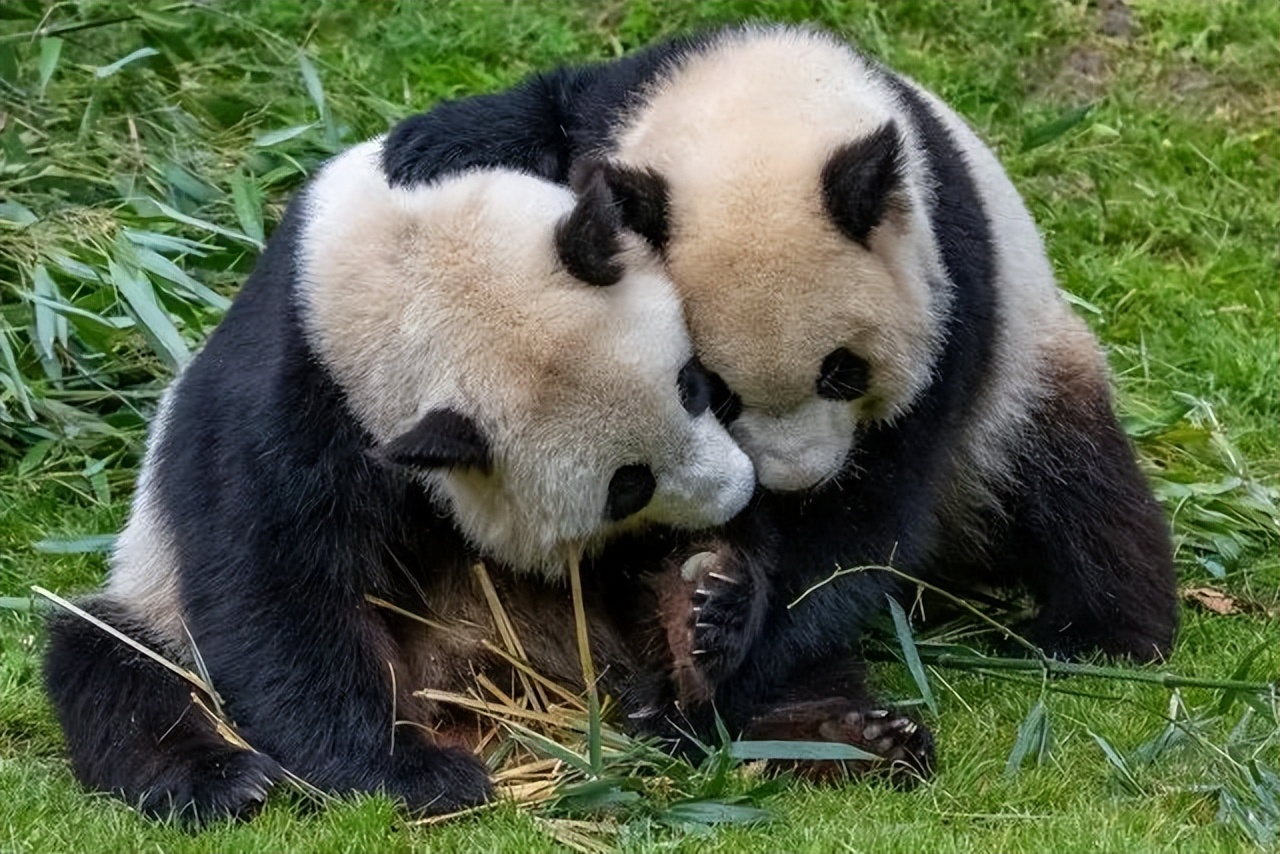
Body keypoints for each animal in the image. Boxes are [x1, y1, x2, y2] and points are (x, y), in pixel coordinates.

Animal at [42, 139, 762, 825]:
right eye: (627, 486)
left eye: (690, 385)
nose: (736, 494)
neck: (401, 270)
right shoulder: (281, 420)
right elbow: (275, 597)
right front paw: (417, 774)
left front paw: (707, 605)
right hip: (153, 599)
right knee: (111, 664)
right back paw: (225, 781)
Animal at [381, 23, 1178, 736]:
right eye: (716, 389)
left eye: (843, 371)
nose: (795, 483)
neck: (763, 110)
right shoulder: (616, 106)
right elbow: (540, 114)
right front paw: (422, 152)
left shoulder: (951, 295)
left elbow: (855, 533)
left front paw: (701, 657)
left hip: (1022, 376)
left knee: (1076, 489)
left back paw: (1101, 633)